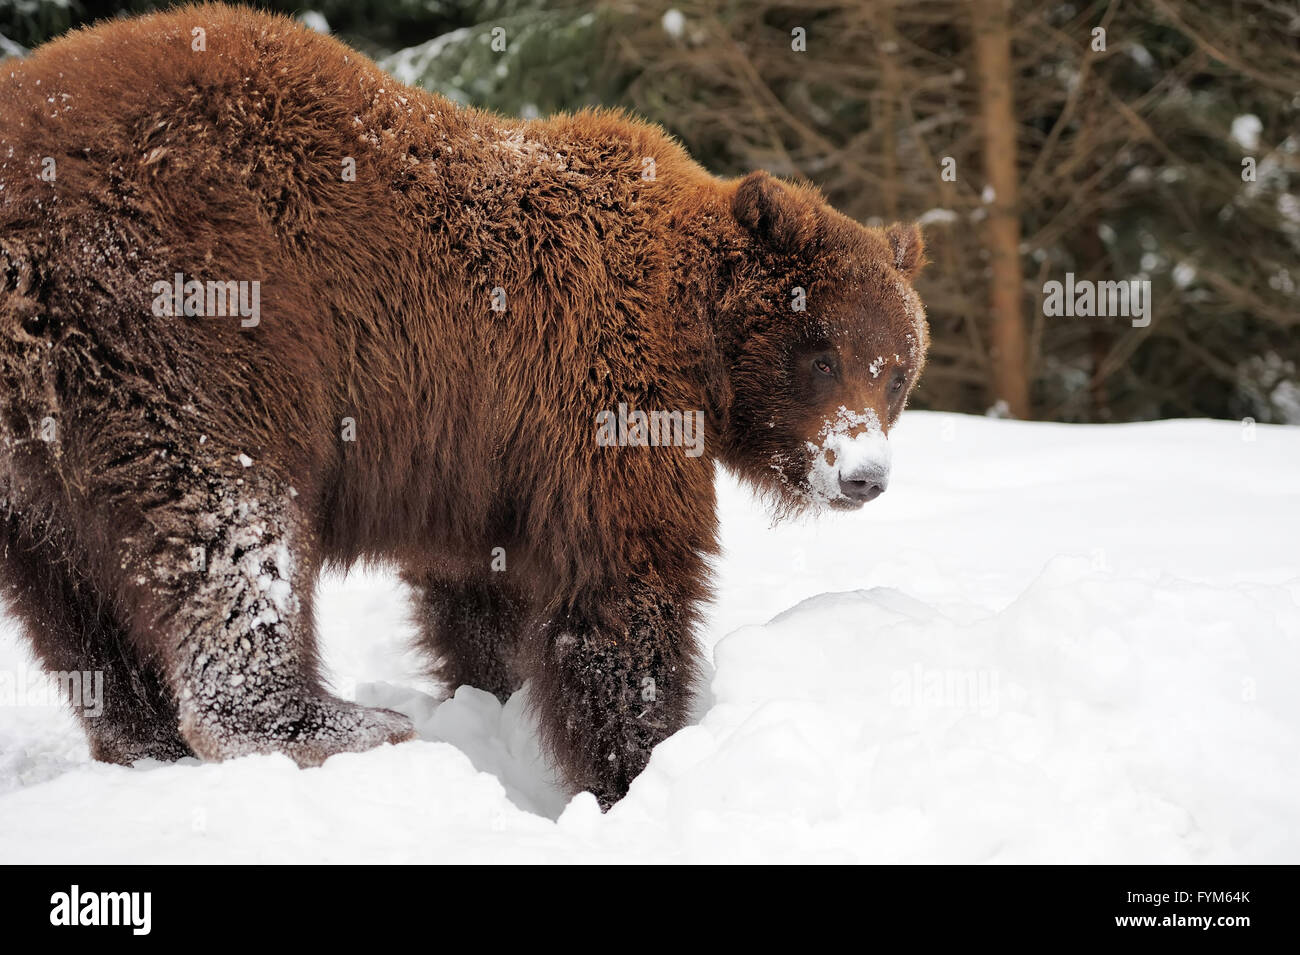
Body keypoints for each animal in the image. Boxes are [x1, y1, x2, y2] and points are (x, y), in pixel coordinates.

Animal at [0, 4, 928, 806]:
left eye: (896, 372)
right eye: (822, 356)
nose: (864, 476)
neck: (694, 329)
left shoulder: (487, 450)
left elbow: (483, 596)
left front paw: (503, 698)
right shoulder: (607, 394)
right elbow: (623, 586)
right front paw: (640, 761)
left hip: (40, 441)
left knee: (70, 595)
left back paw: (146, 739)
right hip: (191, 299)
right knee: (229, 514)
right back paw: (333, 724)